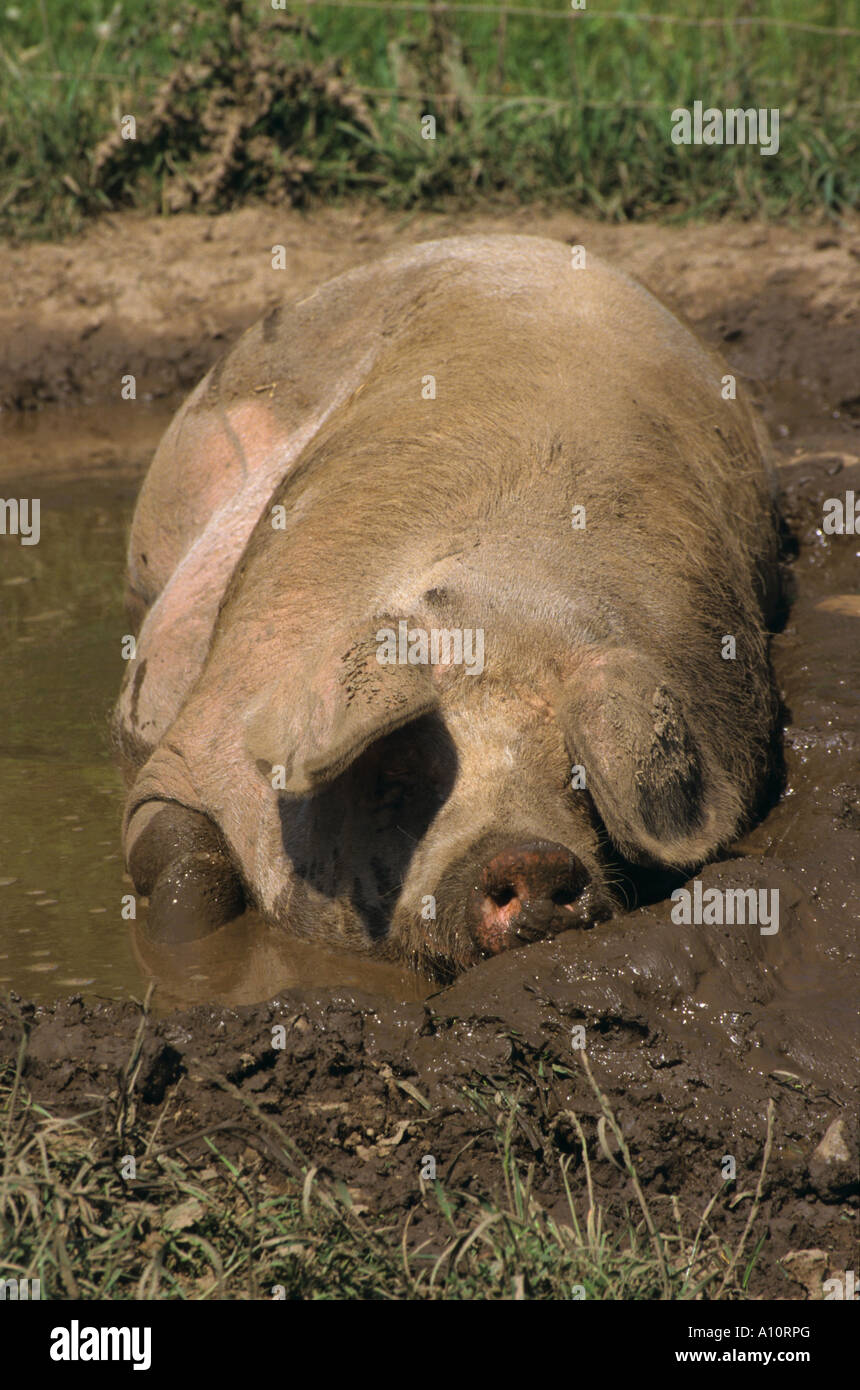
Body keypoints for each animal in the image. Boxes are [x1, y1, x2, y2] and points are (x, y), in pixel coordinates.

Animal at [114, 234, 782, 981]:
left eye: (576, 779)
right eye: (396, 775)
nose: (531, 857)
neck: (500, 619)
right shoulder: (194, 748)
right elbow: (187, 868)